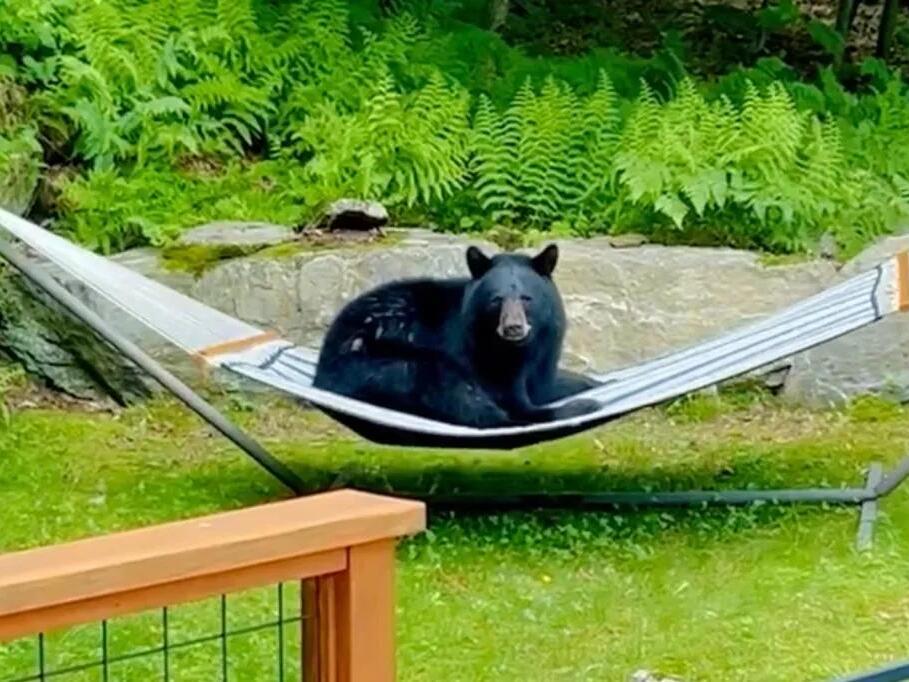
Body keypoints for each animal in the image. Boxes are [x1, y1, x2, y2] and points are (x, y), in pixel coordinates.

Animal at [311, 243, 602, 429]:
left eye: (526, 298)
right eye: (497, 300)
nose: (513, 328)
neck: (520, 348)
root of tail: (321, 375)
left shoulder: (544, 352)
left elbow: (549, 384)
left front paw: (588, 385)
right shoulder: (482, 356)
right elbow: (514, 400)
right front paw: (578, 405)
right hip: (388, 365)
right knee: (460, 397)